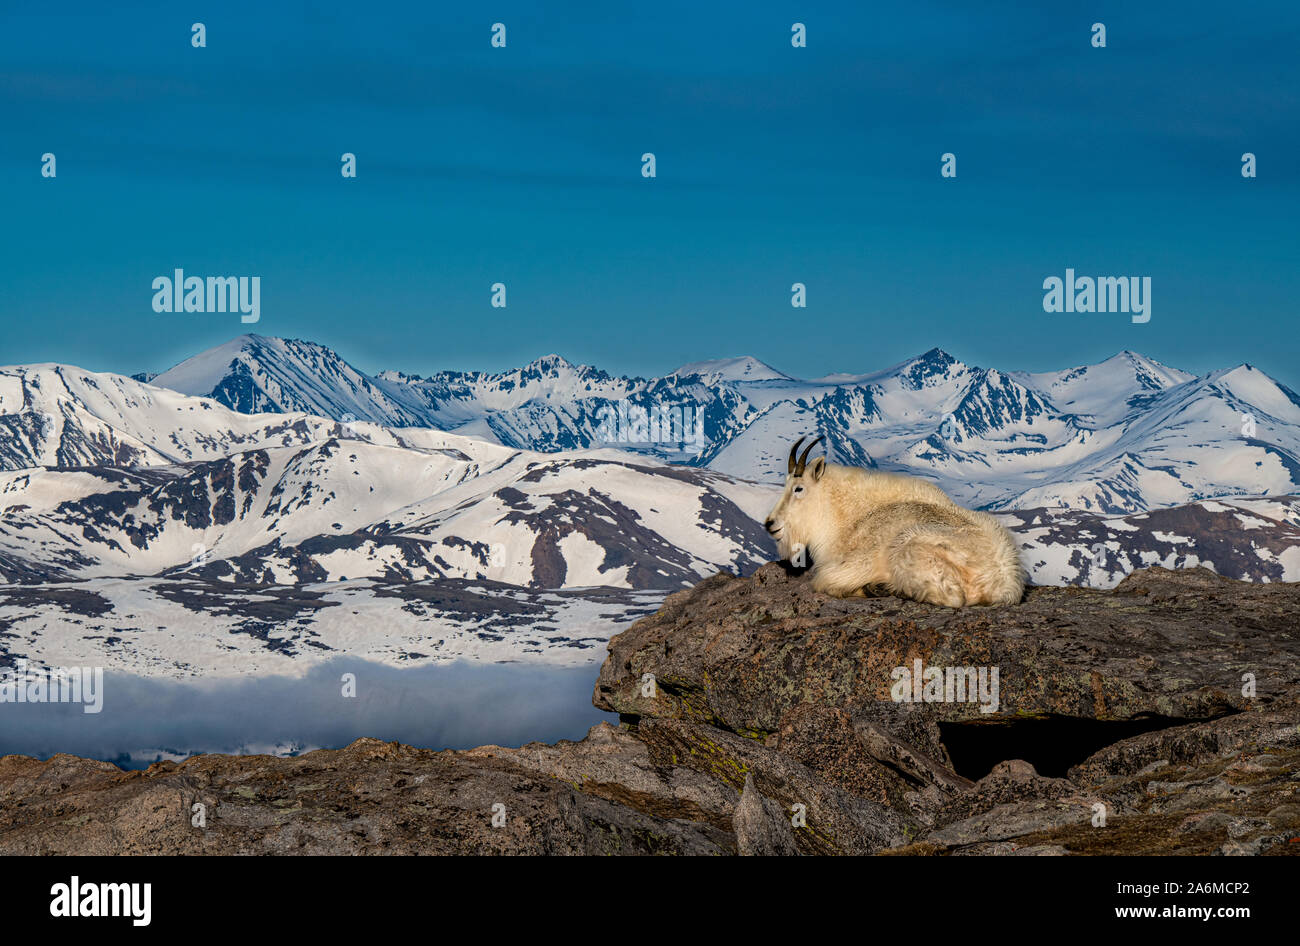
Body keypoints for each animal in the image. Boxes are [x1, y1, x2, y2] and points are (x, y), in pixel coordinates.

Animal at [764, 437, 1025, 607]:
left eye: (798, 488)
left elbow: (823, 582)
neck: (851, 517)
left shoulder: (855, 563)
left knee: (951, 598)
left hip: (911, 546)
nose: (770, 523)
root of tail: (1002, 582)